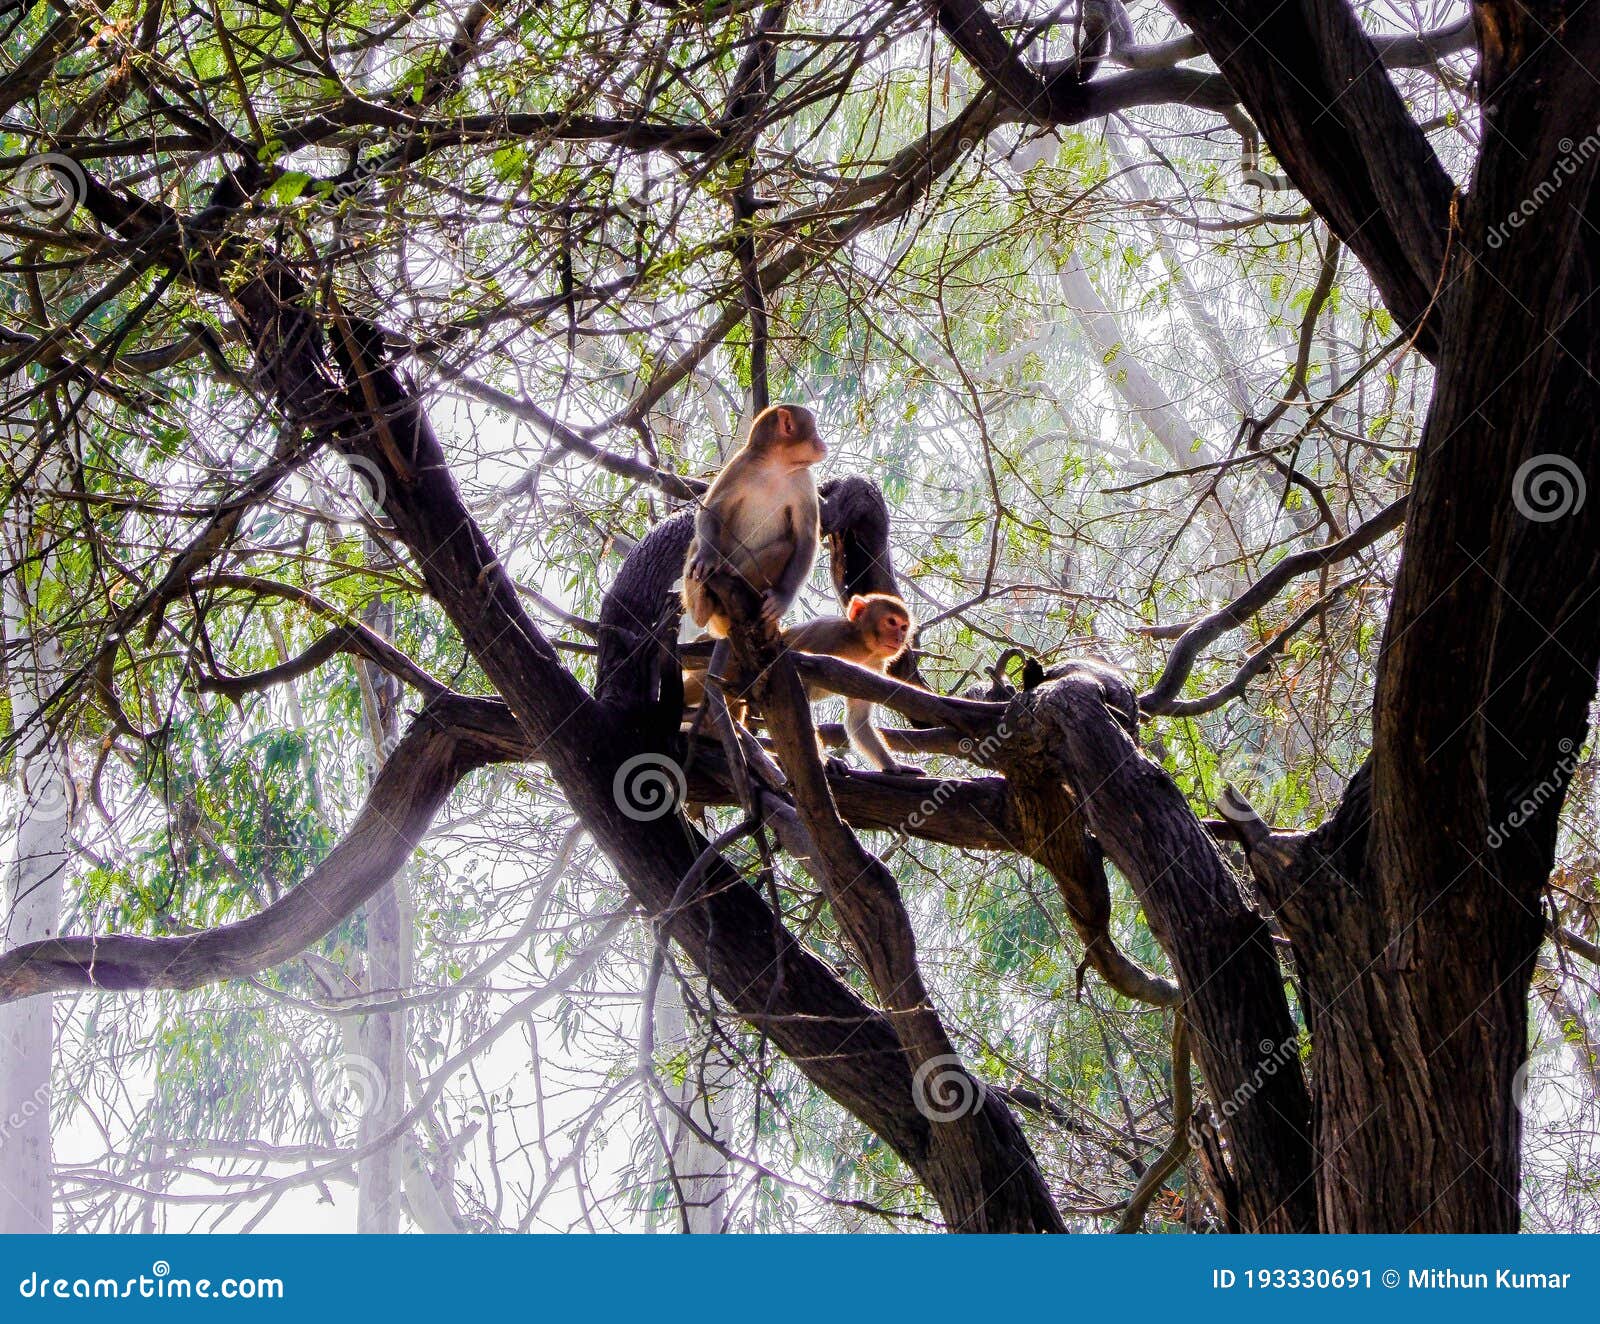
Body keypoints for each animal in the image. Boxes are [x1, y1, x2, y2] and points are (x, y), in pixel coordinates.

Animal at [682, 403, 825, 638]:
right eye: (814, 429)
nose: (823, 442)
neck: (776, 466)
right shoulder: (741, 465)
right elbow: (712, 510)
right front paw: (706, 557)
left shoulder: (804, 480)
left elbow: (806, 537)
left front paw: (783, 597)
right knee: (697, 542)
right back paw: (702, 607)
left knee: (785, 547)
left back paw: (736, 579)